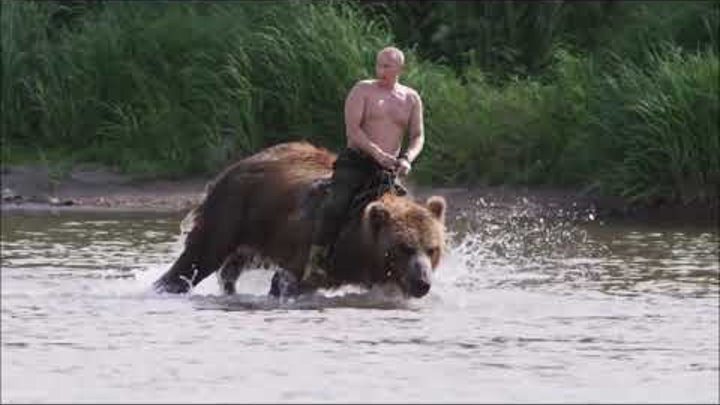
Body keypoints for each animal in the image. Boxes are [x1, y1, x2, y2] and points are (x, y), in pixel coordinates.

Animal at [152, 141, 447, 298]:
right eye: (404, 247)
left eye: (432, 249)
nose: (422, 283)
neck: (360, 247)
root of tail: (232, 168)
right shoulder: (320, 249)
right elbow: (290, 280)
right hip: (233, 209)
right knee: (200, 256)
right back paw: (165, 286)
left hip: (260, 229)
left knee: (231, 266)